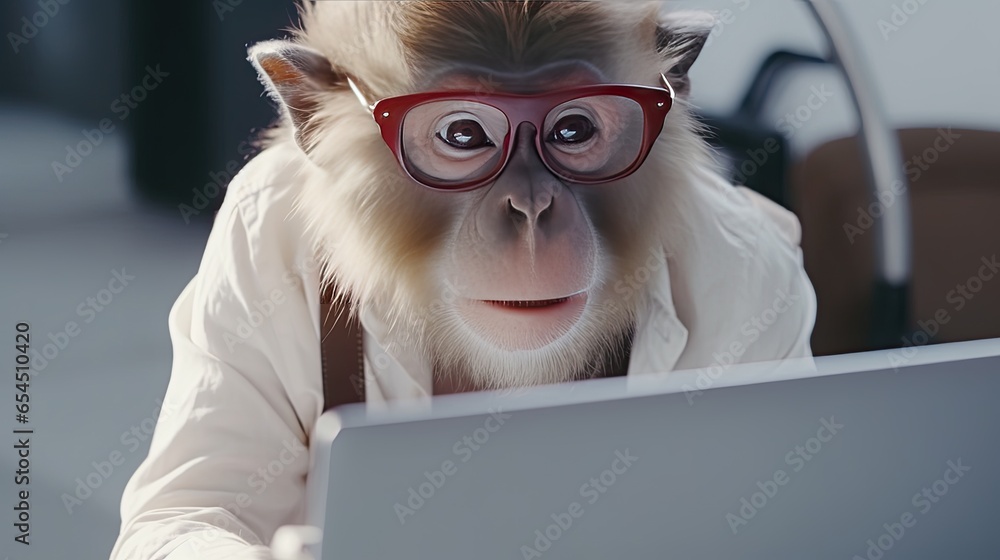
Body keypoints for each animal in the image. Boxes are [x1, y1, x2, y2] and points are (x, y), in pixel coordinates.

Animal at [112, 2, 815, 558]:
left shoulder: (765, 280)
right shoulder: (246, 250)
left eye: (574, 129)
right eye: (463, 133)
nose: (531, 210)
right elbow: (188, 508)